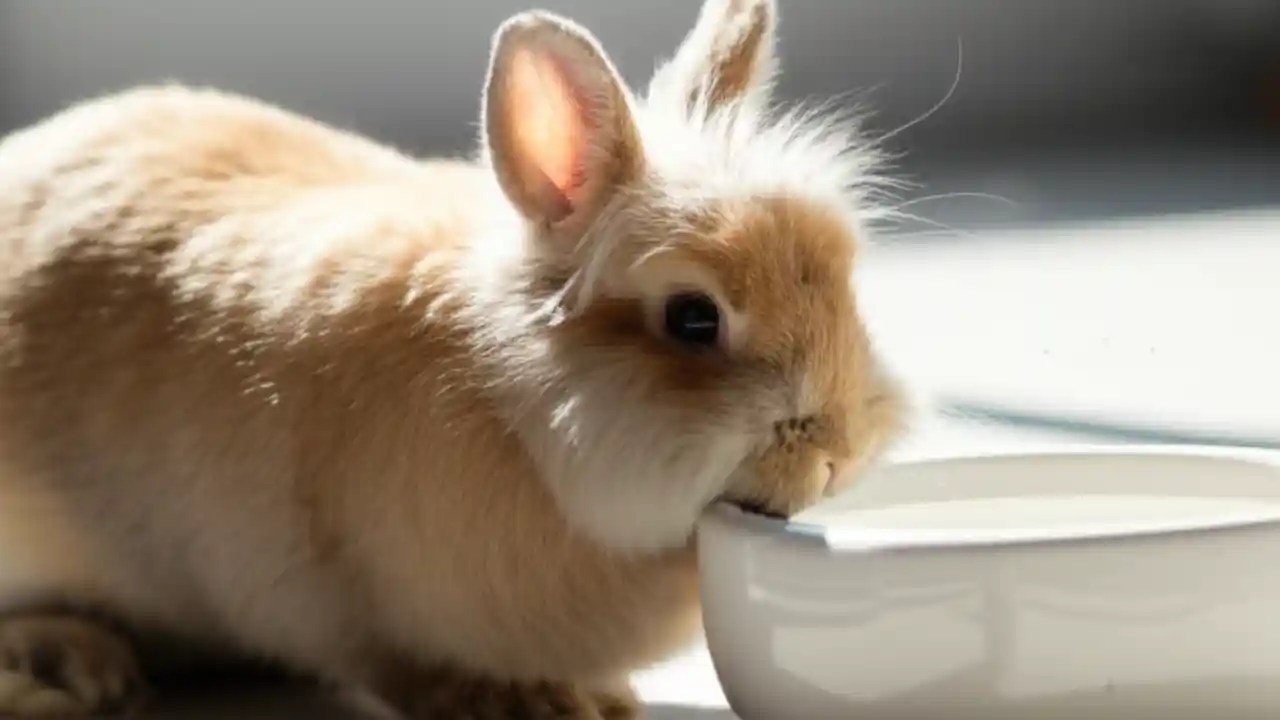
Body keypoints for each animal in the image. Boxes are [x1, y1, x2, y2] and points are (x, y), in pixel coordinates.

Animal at [0, 0, 905, 717]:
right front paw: (538, 702)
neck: (517, 415)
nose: (839, 451)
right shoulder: (331, 596)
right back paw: (71, 670)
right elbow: (399, 663)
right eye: (693, 318)